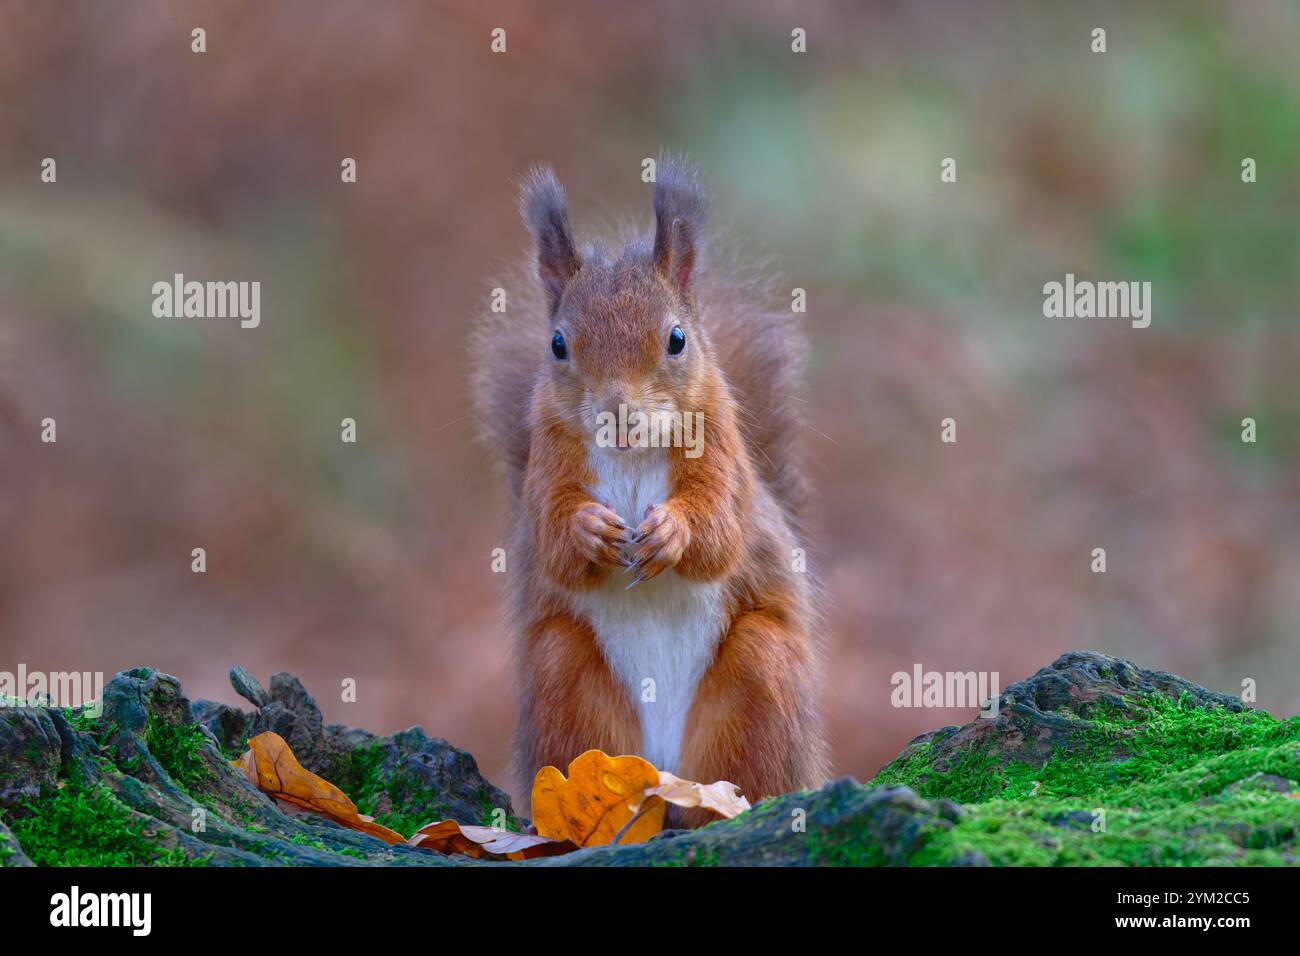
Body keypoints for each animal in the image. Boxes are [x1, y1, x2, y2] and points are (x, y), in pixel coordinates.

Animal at [472, 156, 829, 824]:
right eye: (557, 344)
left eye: (677, 339)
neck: (632, 457)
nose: (618, 413)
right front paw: (589, 530)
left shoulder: (724, 458)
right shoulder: (545, 468)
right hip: (566, 686)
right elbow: (554, 543)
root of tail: (664, 775)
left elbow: (720, 530)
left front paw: (672, 532)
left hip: (759, 680)